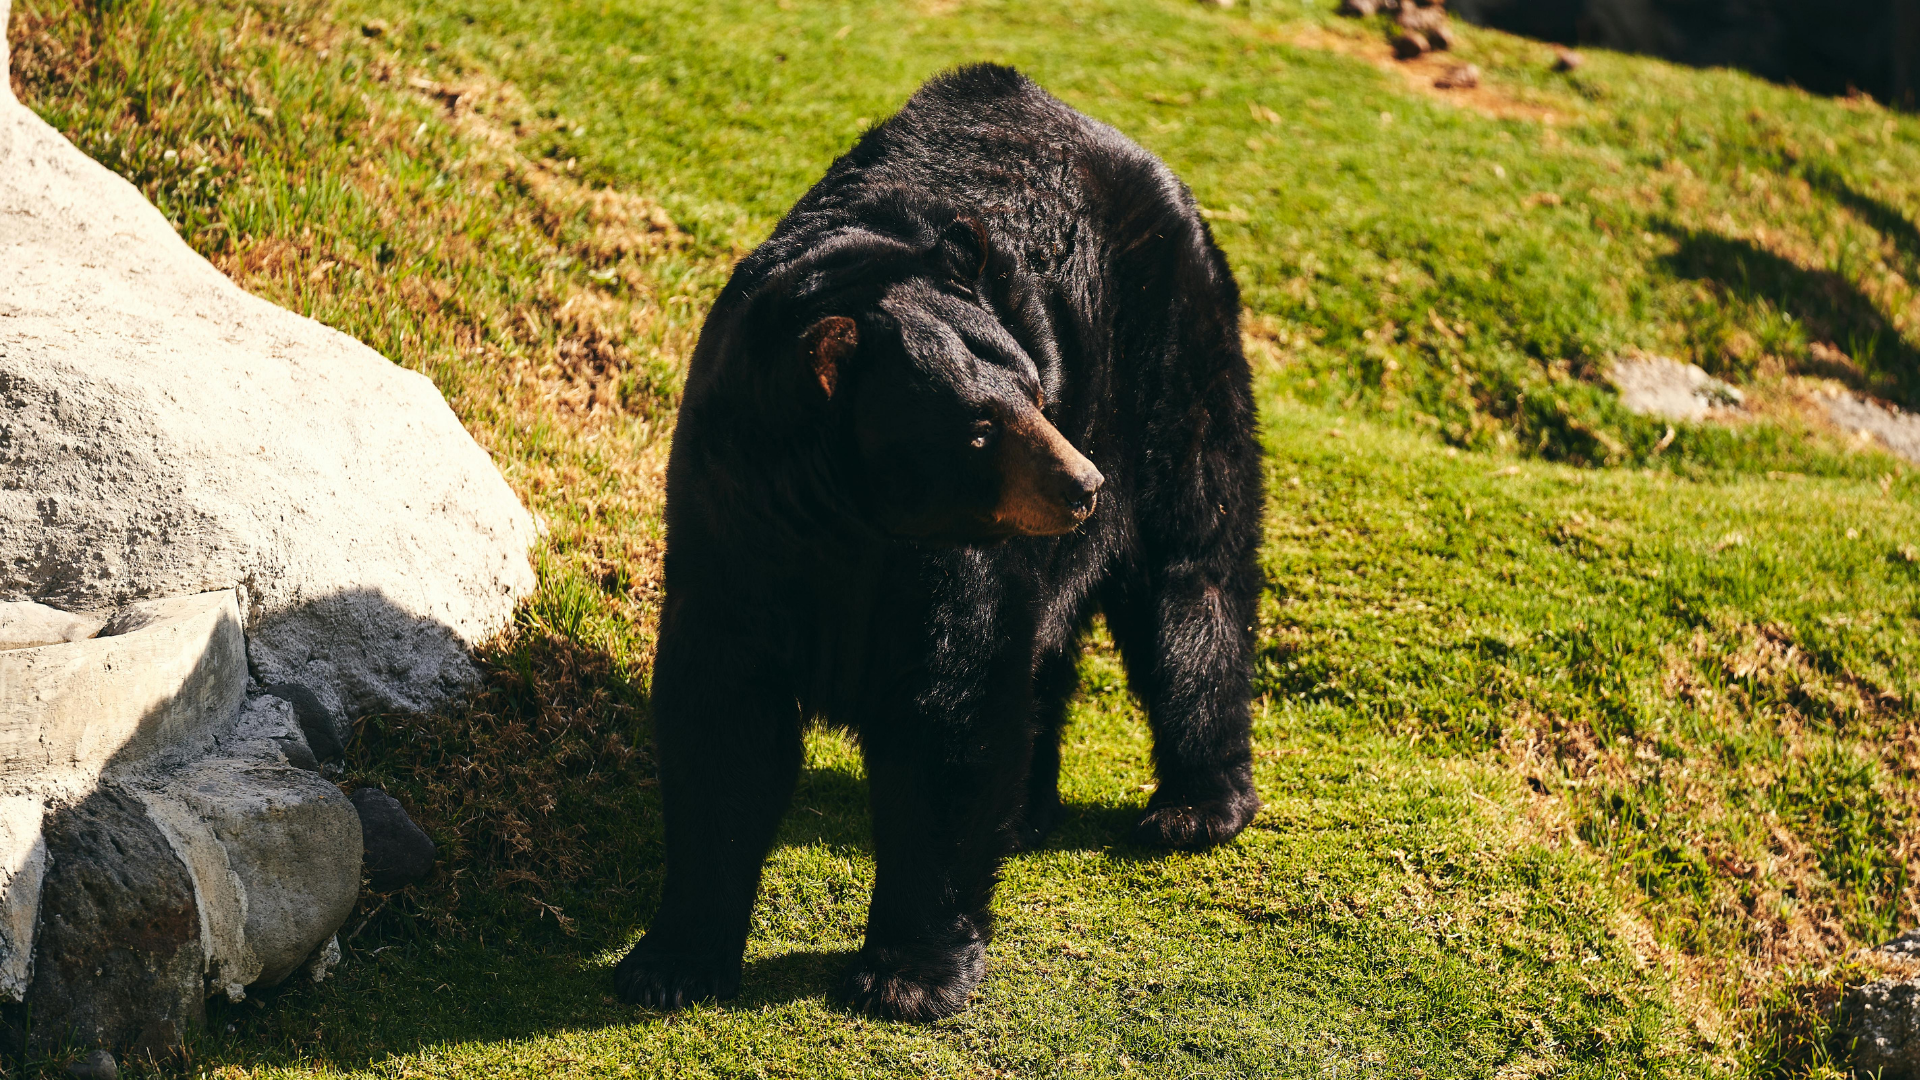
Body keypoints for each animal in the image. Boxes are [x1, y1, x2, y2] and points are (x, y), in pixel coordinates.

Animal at [614, 63, 1264, 1022]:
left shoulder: (945, 558)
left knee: (1194, 563)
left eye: (1036, 388)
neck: (847, 522)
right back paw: (1033, 806)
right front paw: (672, 960)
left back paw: (1196, 804)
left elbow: (952, 707)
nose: (1083, 487)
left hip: (1172, 352)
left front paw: (910, 973)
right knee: (1053, 645)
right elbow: (724, 719)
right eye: (980, 430)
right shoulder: (733, 524)